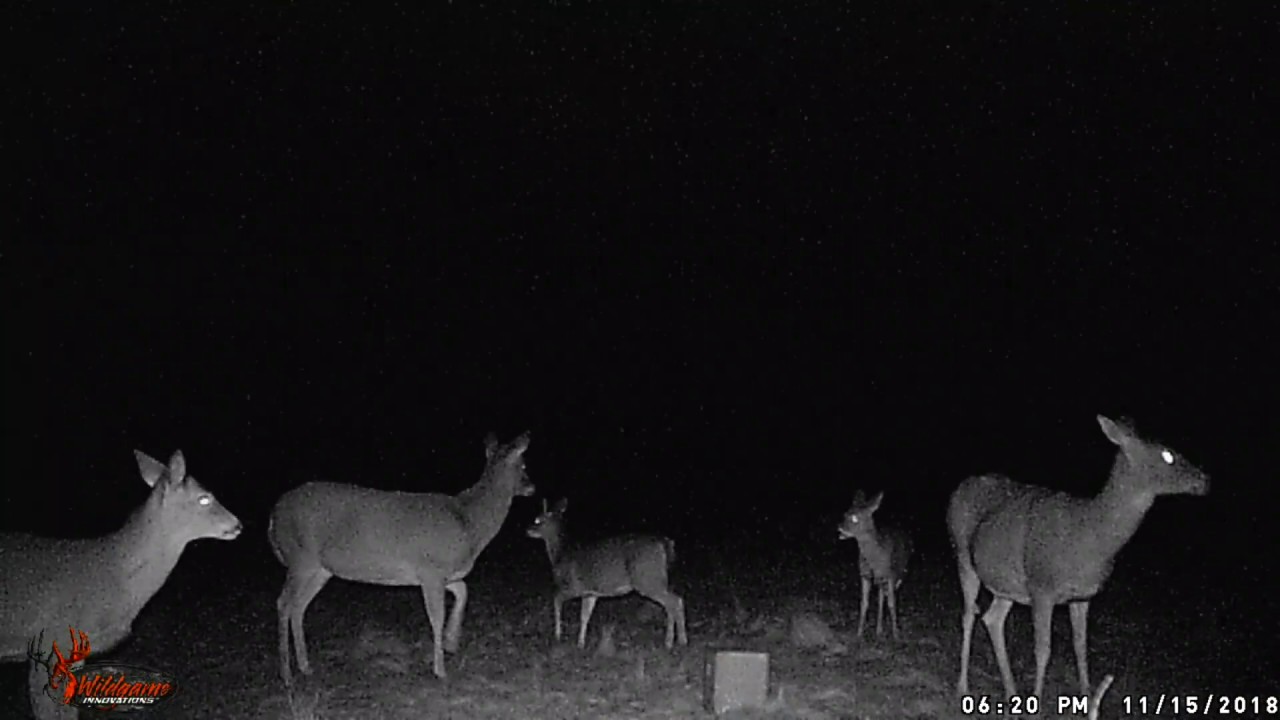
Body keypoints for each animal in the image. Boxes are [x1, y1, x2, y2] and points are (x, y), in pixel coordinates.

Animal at [268, 431, 536, 683]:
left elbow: (463, 591)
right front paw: (440, 670)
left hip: (320, 569)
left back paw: (305, 667)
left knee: (298, 606)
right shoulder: (430, 569)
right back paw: (286, 674)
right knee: (283, 603)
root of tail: (272, 516)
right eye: (523, 465)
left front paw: (451, 642)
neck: (469, 523)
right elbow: (436, 618)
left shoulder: (444, 574)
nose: (532, 486)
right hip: (300, 557)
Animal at [525, 497, 688, 650]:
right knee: (673, 601)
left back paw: (677, 641)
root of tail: (665, 543)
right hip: (657, 578)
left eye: (538, 520)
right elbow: (584, 616)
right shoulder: (590, 593)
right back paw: (674, 641)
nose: (527, 530)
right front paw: (580, 643)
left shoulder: (571, 586)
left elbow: (556, 601)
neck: (559, 554)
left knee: (674, 601)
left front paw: (558, 635)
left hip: (647, 578)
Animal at [836, 489, 914, 640]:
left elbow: (892, 603)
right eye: (845, 513)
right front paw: (859, 633)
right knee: (880, 597)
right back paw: (879, 630)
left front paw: (896, 635)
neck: (874, 558)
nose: (840, 528)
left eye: (855, 518)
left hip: (900, 573)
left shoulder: (890, 575)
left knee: (886, 596)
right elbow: (864, 603)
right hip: (879, 579)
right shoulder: (865, 575)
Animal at [948, 415, 1209, 700]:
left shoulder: (1083, 596)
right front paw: (1037, 701)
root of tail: (961, 486)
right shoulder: (1042, 586)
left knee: (992, 618)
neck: (1090, 543)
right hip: (963, 553)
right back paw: (963, 686)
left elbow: (1081, 647)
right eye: (1167, 454)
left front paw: (1087, 695)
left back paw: (1011, 692)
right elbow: (1043, 651)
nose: (1204, 479)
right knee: (969, 615)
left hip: (1006, 581)